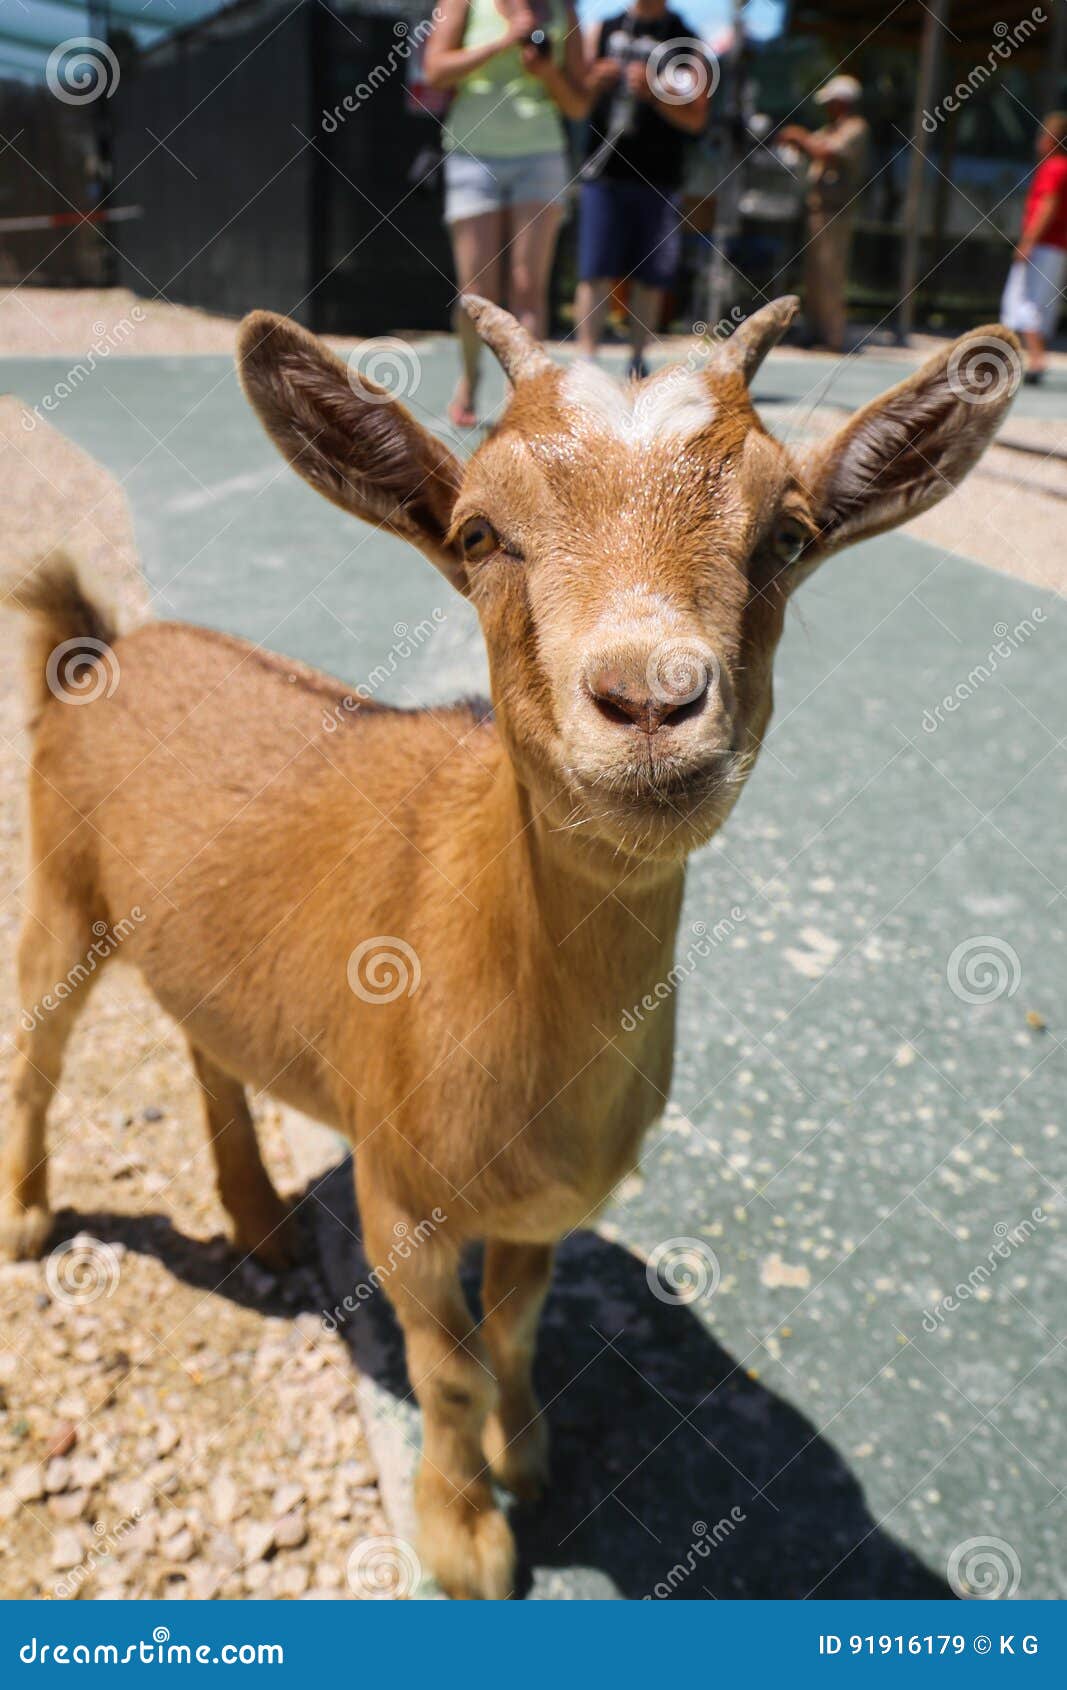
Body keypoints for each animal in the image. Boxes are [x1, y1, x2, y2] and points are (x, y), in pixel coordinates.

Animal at [1, 298, 1018, 1597]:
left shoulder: (545, 1210)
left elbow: (515, 1332)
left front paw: (526, 1461)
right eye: (480, 531)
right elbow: (444, 1368)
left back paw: (261, 1219)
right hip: (61, 889)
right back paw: (30, 1219)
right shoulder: (400, 1199)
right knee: (37, 1050)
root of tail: (100, 649)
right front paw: (467, 1539)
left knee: (208, 1050)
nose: (651, 699)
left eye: (785, 535)